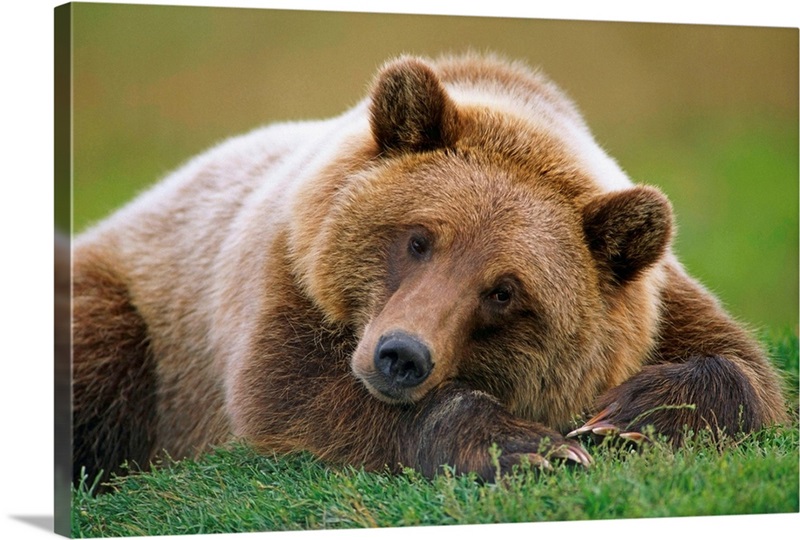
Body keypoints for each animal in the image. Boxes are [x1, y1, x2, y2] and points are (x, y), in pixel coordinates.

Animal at [71, 53, 787, 487]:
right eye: (418, 239)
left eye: (504, 291)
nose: (401, 356)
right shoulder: (283, 278)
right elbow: (290, 396)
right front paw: (529, 444)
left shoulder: (656, 304)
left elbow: (746, 370)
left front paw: (635, 412)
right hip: (137, 312)